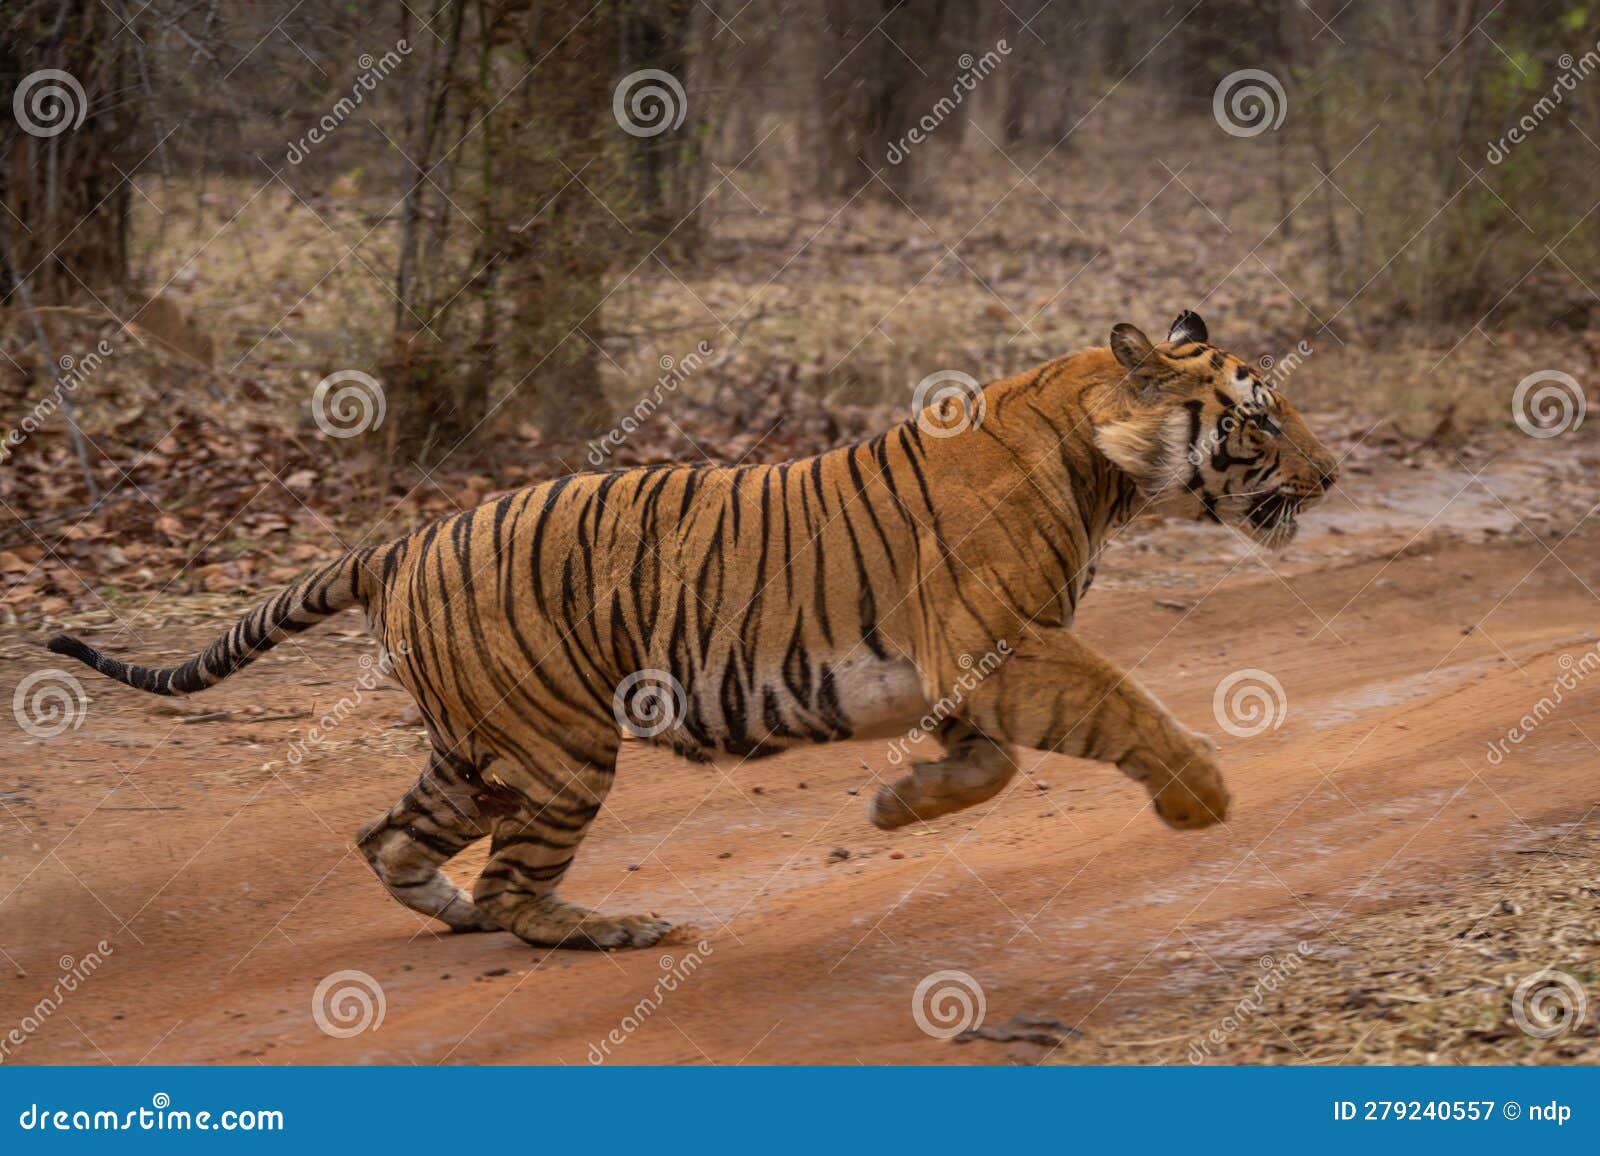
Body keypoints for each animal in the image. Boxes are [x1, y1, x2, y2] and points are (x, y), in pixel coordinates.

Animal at [45, 310, 1339, 950]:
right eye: (1259, 418)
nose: (1333, 475)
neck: (1103, 469)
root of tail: (400, 542)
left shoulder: (968, 669)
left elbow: (989, 764)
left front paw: (894, 804)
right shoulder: (1005, 641)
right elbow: (1125, 702)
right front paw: (1200, 799)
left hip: (477, 749)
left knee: (391, 838)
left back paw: (448, 910)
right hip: (559, 745)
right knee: (515, 889)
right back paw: (615, 927)